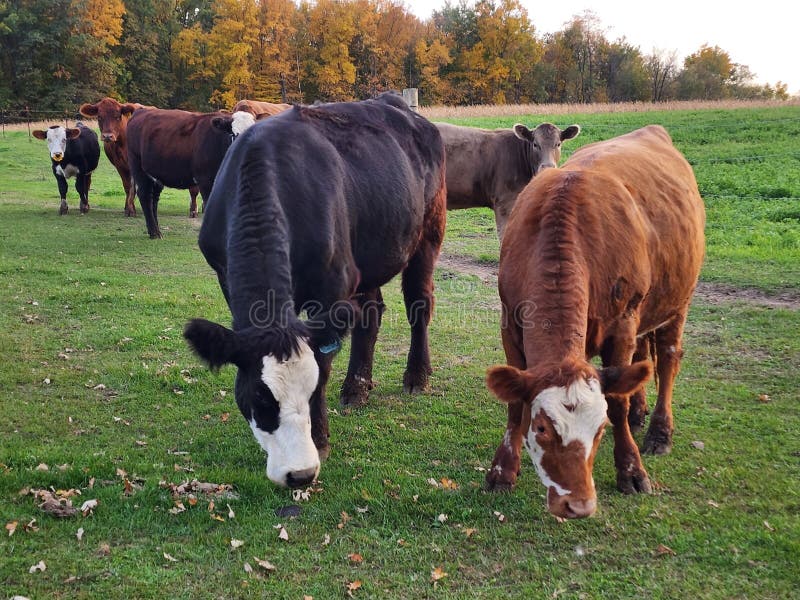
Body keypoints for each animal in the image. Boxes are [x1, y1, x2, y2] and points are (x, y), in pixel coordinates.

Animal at [126, 109, 257, 238]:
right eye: (234, 135)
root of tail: (142, 111)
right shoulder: (205, 180)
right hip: (137, 165)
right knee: (145, 195)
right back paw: (154, 233)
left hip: (156, 174)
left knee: (154, 198)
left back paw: (156, 229)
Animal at [182, 92, 446, 489]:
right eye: (261, 399)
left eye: (309, 391)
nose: (300, 474)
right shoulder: (225, 277)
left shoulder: (332, 288)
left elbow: (324, 361)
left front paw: (319, 438)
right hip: (368, 255)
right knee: (370, 313)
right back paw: (356, 387)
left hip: (427, 232)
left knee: (419, 304)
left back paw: (416, 376)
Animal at [484, 125, 705, 519]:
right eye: (541, 428)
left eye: (600, 429)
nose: (577, 504)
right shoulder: (510, 323)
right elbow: (514, 402)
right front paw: (502, 470)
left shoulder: (623, 323)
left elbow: (616, 400)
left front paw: (630, 469)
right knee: (643, 361)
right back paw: (639, 413)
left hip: (678, 300)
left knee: (666, 360)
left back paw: (658, 432)